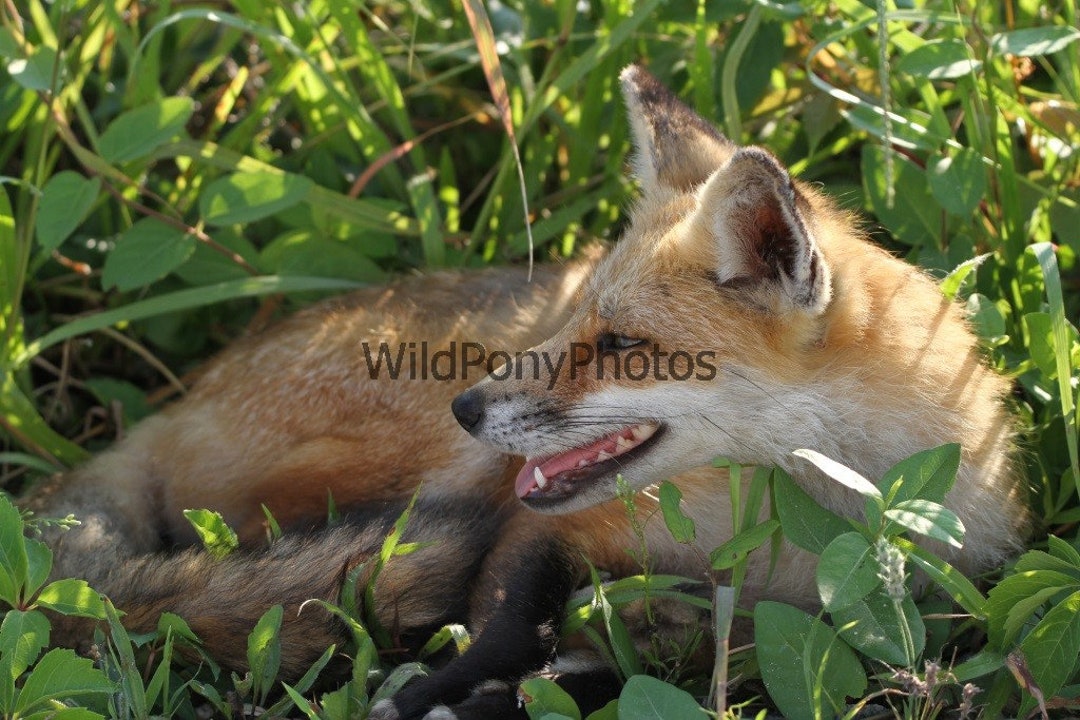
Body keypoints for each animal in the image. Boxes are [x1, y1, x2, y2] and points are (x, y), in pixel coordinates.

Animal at [21, 65, 1026, 720]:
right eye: (577, 318)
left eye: (621, 346)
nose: (467, 407)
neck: (775, 537)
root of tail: (172, 405)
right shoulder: (544, 530)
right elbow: (508, 628)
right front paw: (426, 696)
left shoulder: (768, 637)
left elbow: (591, 674)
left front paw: (475, 699)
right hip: (422, 465)